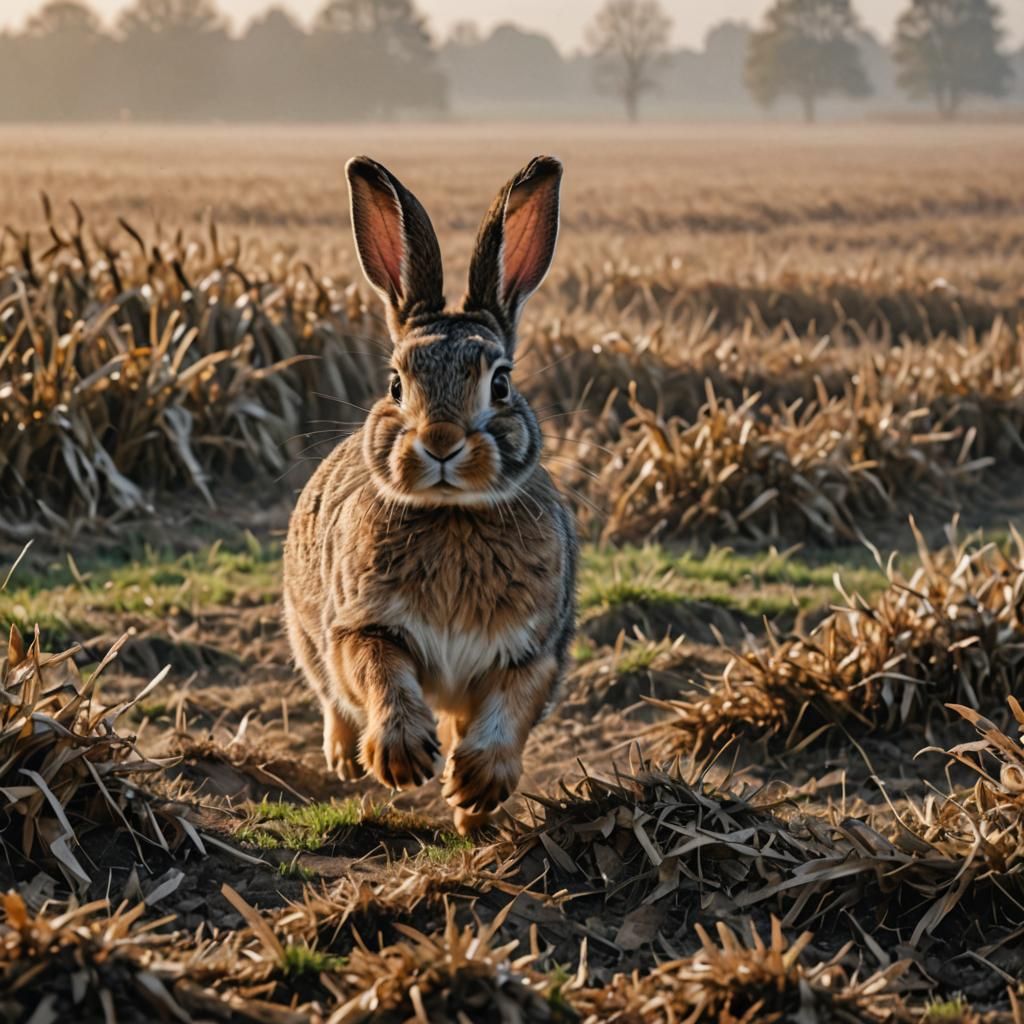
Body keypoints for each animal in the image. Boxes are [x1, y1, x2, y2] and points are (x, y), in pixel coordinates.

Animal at [283, 154, 577, 834]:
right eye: (396, 383)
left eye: (500, 383)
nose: (441, 441)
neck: (452, 515)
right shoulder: (362, 626)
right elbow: (378, 674)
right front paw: (399, 760)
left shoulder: (533, 652)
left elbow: (509, 712)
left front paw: (475, 790)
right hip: (304, 629)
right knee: (330, 693)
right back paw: (345, 759)